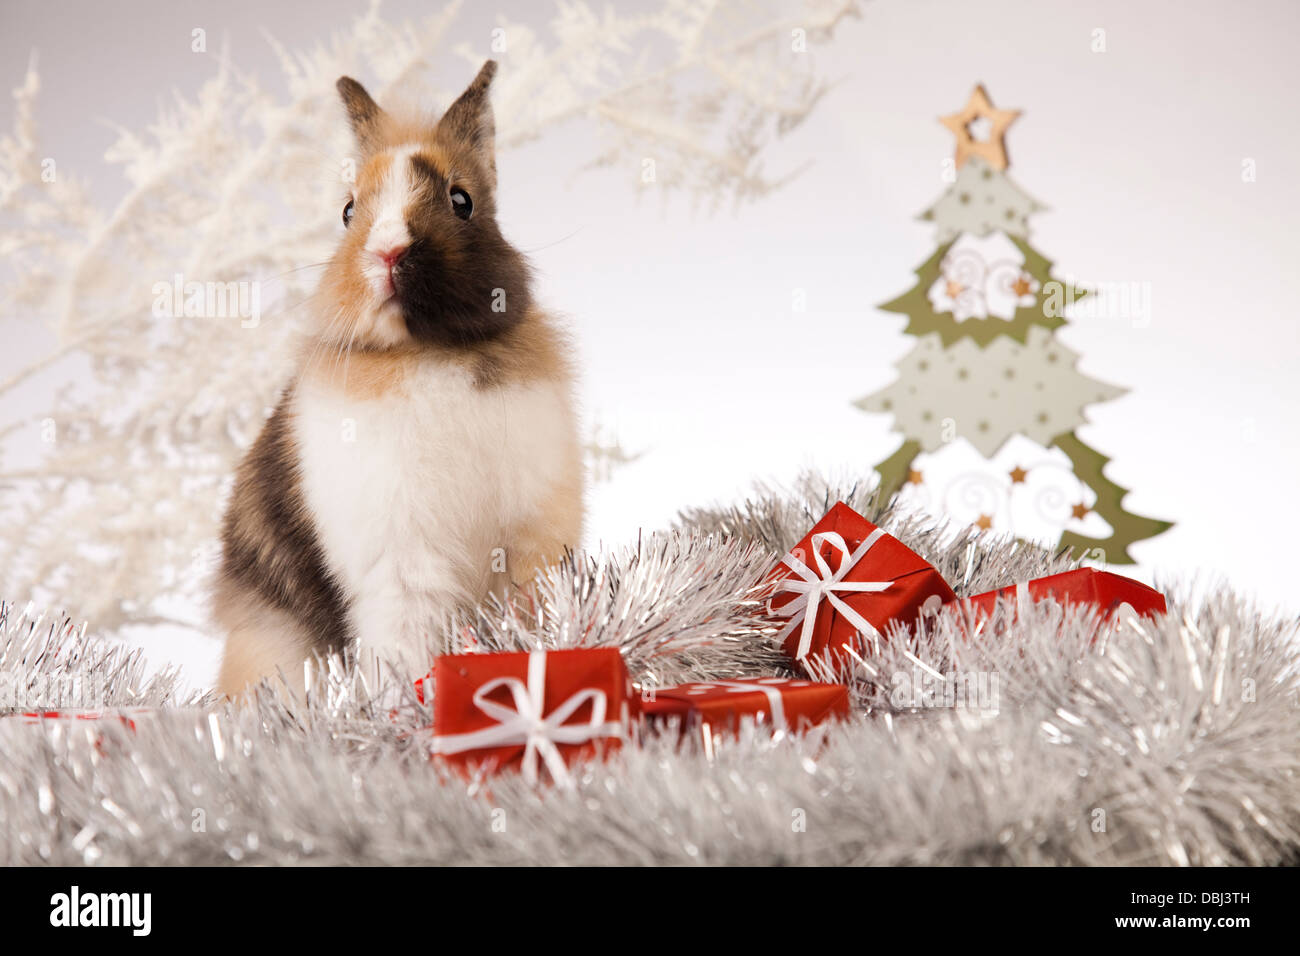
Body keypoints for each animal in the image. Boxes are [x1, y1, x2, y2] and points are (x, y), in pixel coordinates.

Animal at [214, 61, 583, 698]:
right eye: (347, 211)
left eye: (461, 200)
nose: (388, 252)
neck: (426, 353)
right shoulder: (403, 567)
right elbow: (410, 643)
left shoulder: (530, 544)